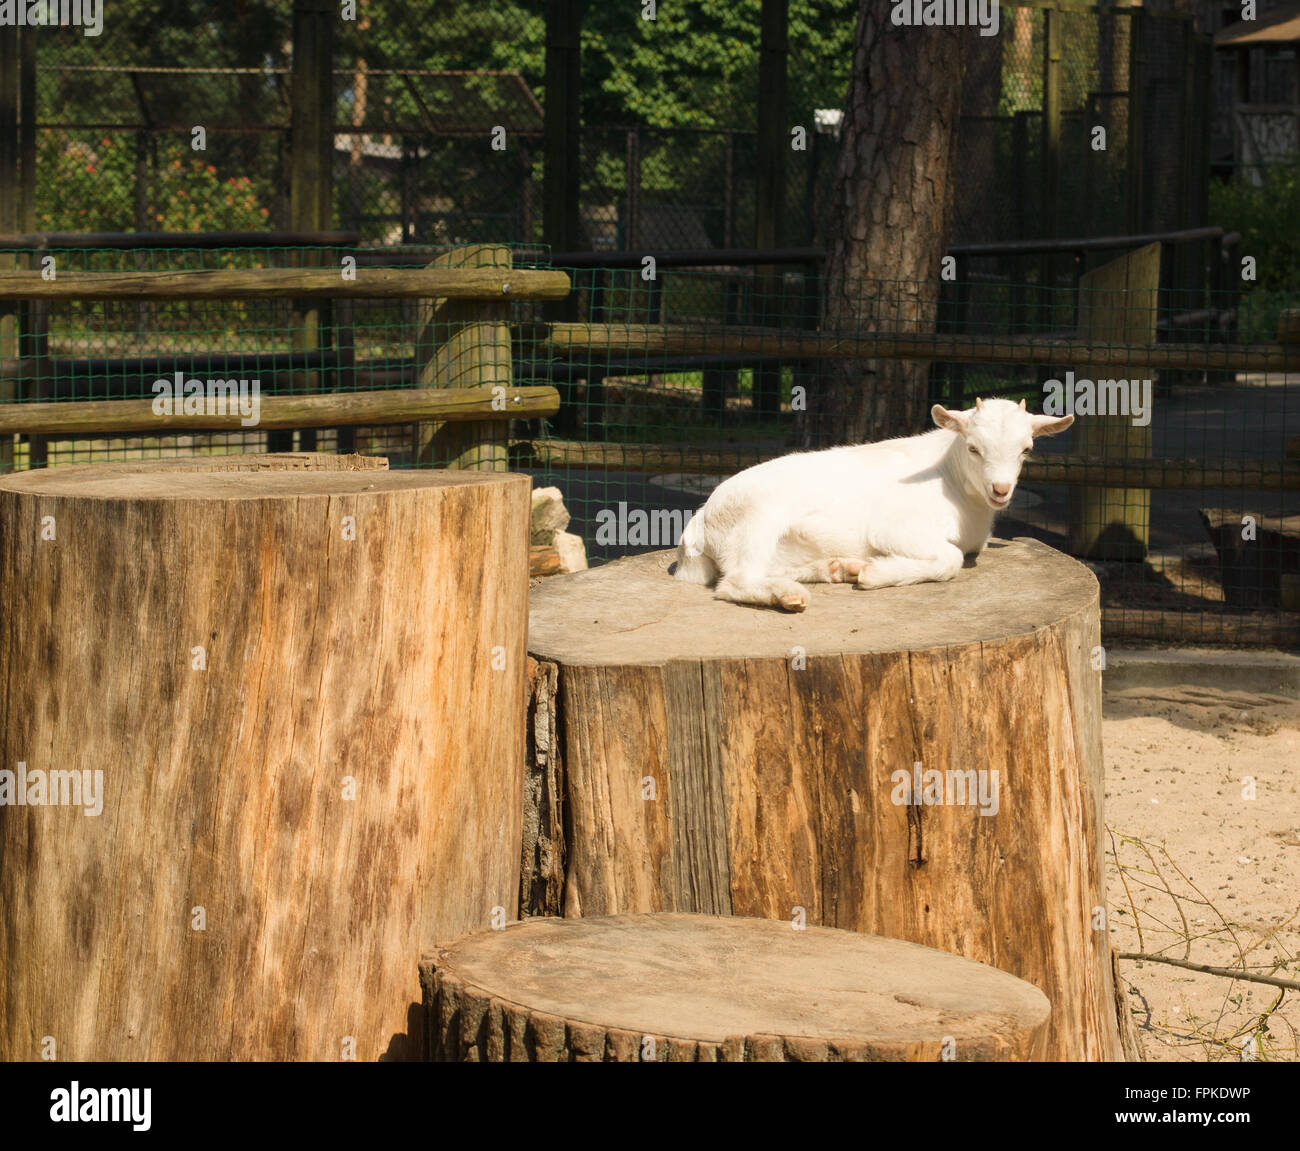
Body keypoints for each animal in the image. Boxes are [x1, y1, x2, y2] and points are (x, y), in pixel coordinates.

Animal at [674, 397, 1074, 611]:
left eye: (1026, 449)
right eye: (974, 447)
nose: (1001, 489)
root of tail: (699, 522)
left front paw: (862, 570)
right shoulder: (894, 527)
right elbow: (951, 558)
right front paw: (875, 574)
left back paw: (834, 568)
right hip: (756, 519)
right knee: (734, 581)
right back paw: (791, 594)